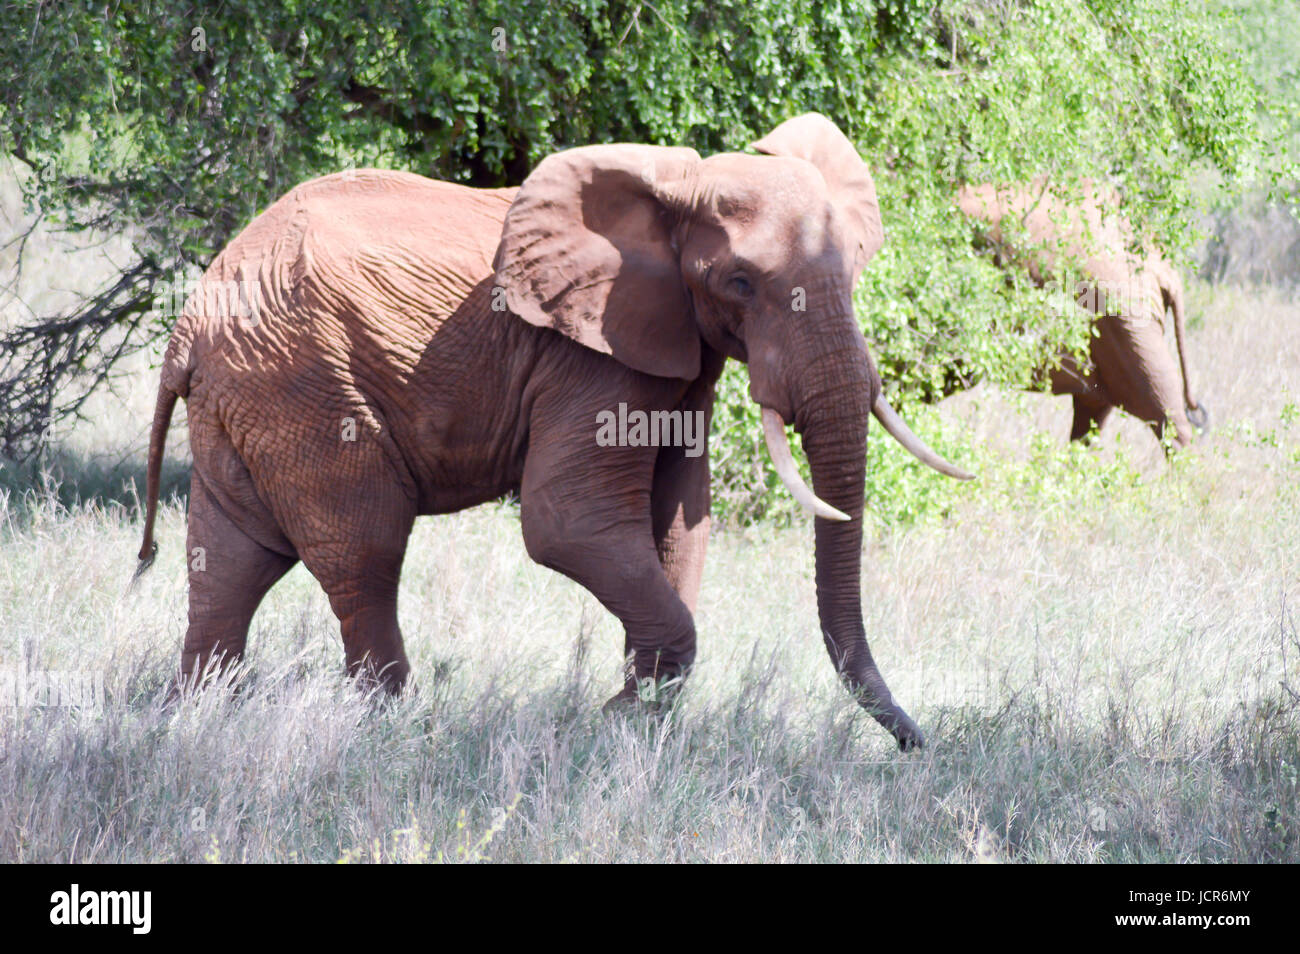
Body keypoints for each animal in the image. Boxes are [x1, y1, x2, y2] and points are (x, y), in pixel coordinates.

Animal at [135, 113, 972, 750]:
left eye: (855, 266)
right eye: (740, 283)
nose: (919, 747)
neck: (681, 184)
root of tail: (189, 325)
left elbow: (679, 521)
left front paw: (634, 720)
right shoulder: (587, 356)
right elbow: (570, 523)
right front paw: (606, 722)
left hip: (249, 394)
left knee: (230, 563)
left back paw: (186, 726)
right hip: (304, 385)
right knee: (363, 551)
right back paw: (399, 733)